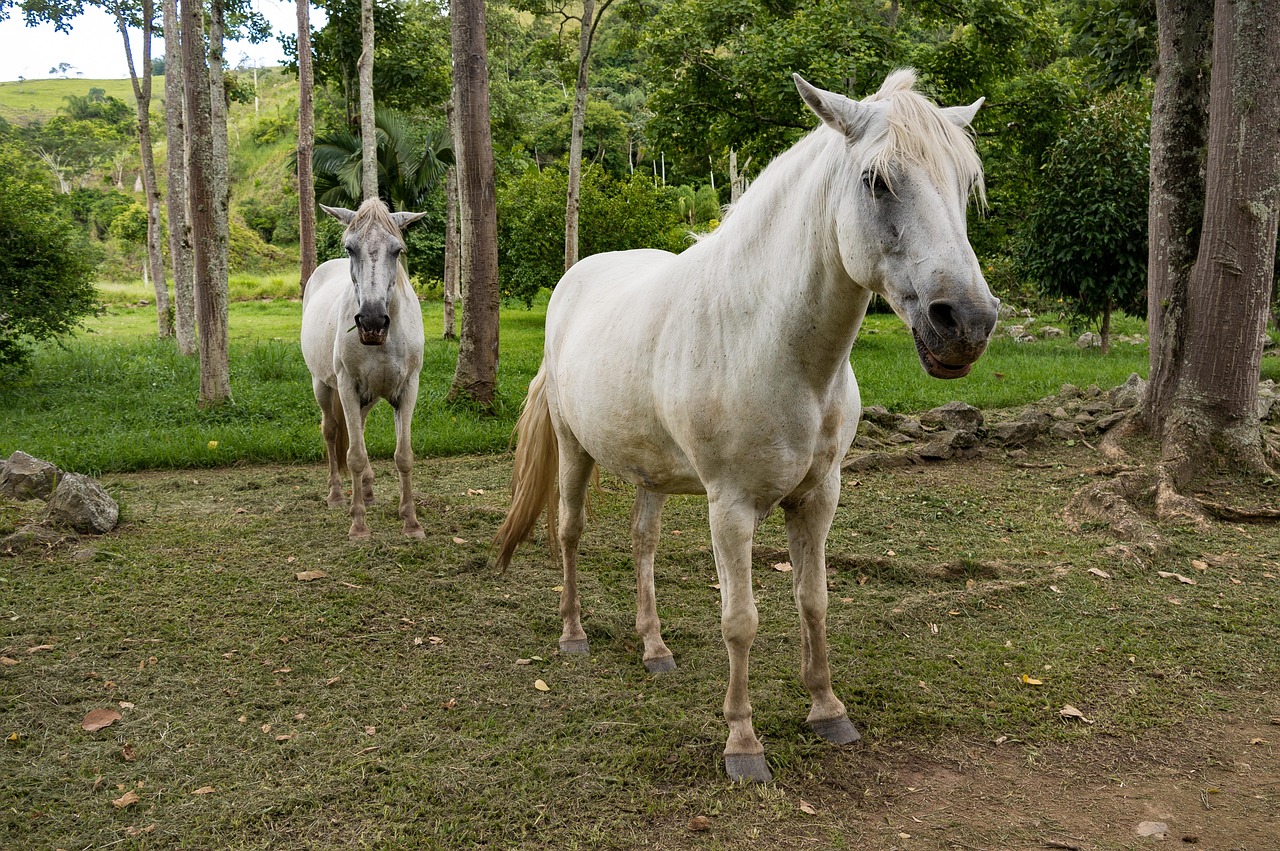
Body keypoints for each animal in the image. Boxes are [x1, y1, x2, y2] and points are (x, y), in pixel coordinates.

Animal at [301, 199, 429, 541]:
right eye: (350, 248)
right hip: (322, 385)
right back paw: (336, 494)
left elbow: (403, 456)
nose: (372, 322)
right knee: (331, 431)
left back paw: (369, 491)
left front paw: (411, 522)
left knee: (359, 427)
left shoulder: (408, 388)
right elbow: (354, 456)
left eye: (397, 250)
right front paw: (358, 525)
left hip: (367, 397)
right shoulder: (346, 387)